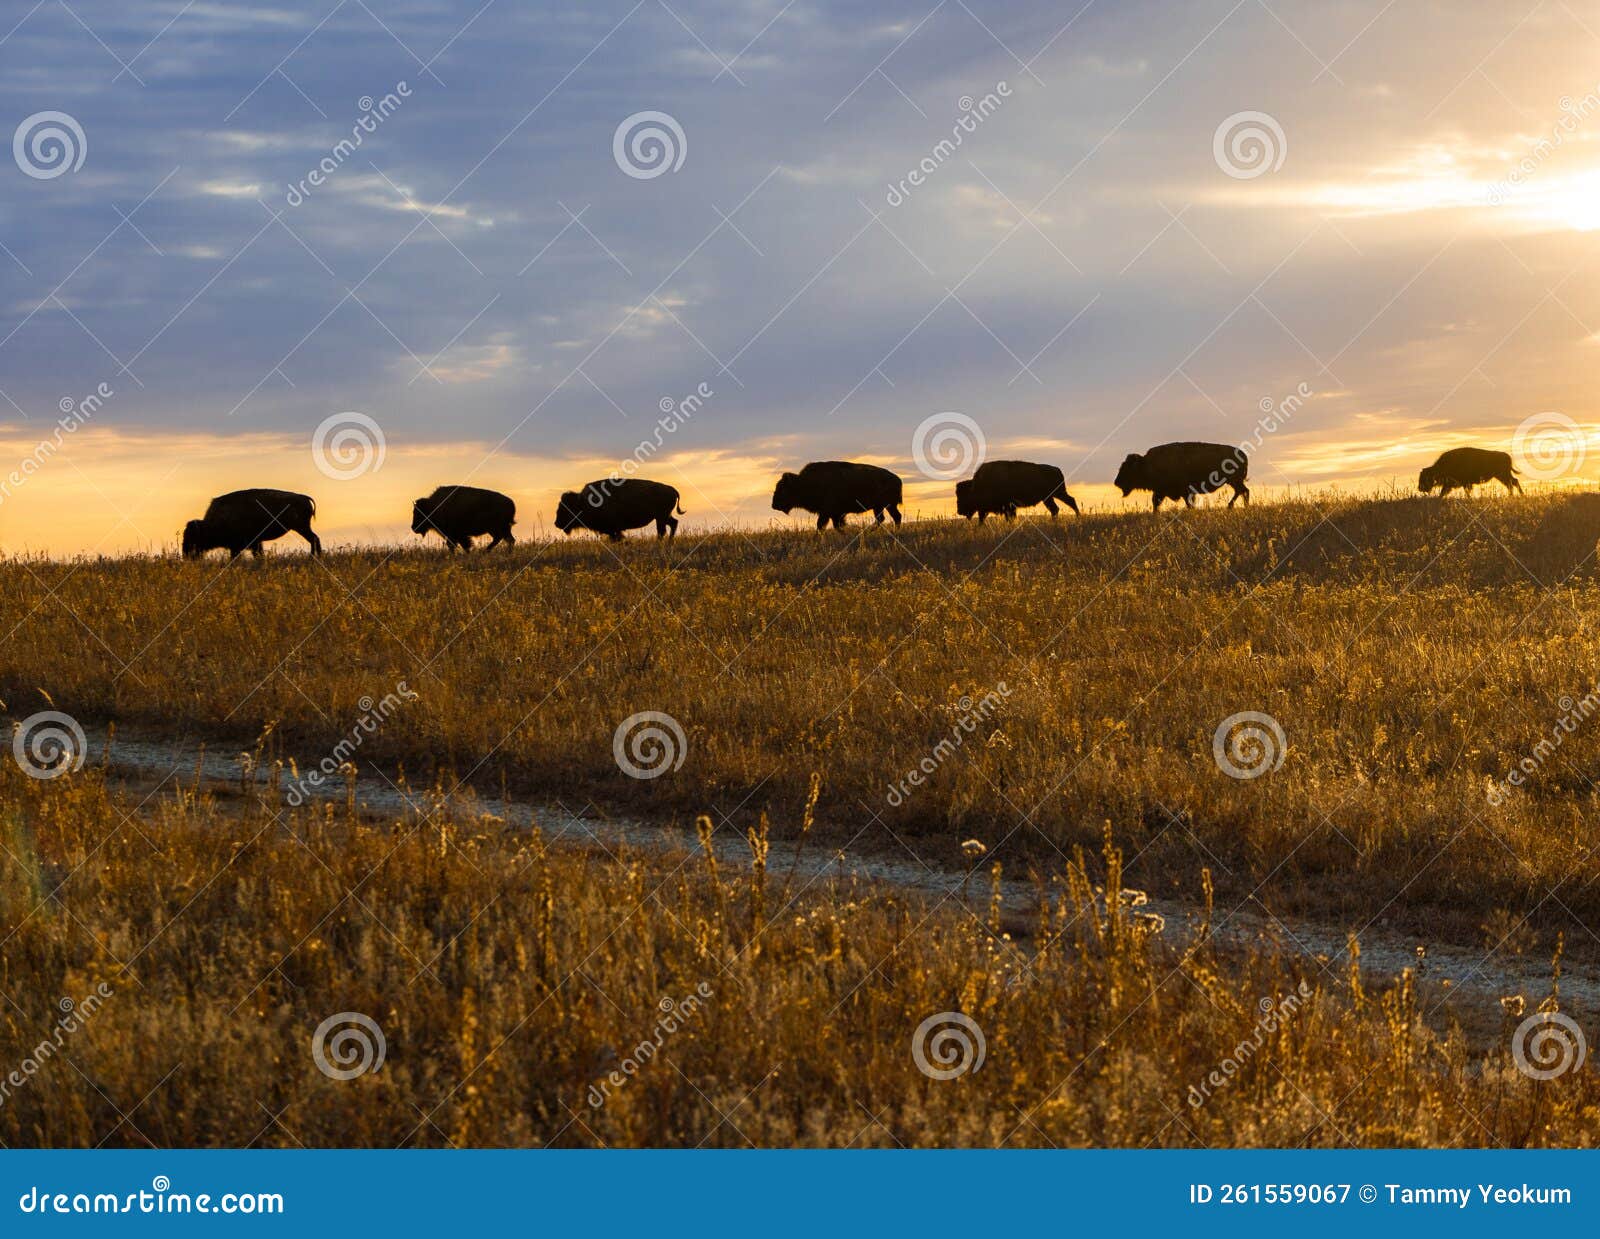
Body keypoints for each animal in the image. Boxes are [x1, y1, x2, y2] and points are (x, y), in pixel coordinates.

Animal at [182, 489, 321, 559]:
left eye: (193, 537)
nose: (186, 554)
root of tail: (304, 497)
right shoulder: (252, 544)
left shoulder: (244, 545)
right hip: (302, 528)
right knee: (314, 538)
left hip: (301, 528)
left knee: (314, 538)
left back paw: (313, 557)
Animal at [555, 478, 683, 541]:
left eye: (566, 508)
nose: (556, 523)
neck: (582, 503)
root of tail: (671, 488)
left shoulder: (613, 529)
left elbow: (617, 537)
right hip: (663, 517)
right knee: (673, 524)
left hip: (661, 517)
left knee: (663, 530)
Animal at [772, 461, 903, 531]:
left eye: (783, 489)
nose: (774, 505)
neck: (803, 482)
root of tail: (897, 479)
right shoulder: (834, 514)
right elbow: (835, 525)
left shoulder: (828, 512)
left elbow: (823, 525)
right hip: (881, 507)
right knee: (888, 518)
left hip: (886, 505)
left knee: (892, 517)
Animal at [1114, 442, 1249, 510]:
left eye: (1127, 469)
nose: (1116, 482)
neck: (1147, 464)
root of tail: (1243, 454)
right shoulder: (1160, 491)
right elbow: (1155, 503)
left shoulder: (1186, 492)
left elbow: (1189, 504)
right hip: (1234, 481)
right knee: (1243, 491)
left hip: (1234, 481)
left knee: (1243, 491)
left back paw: (1231, 506)